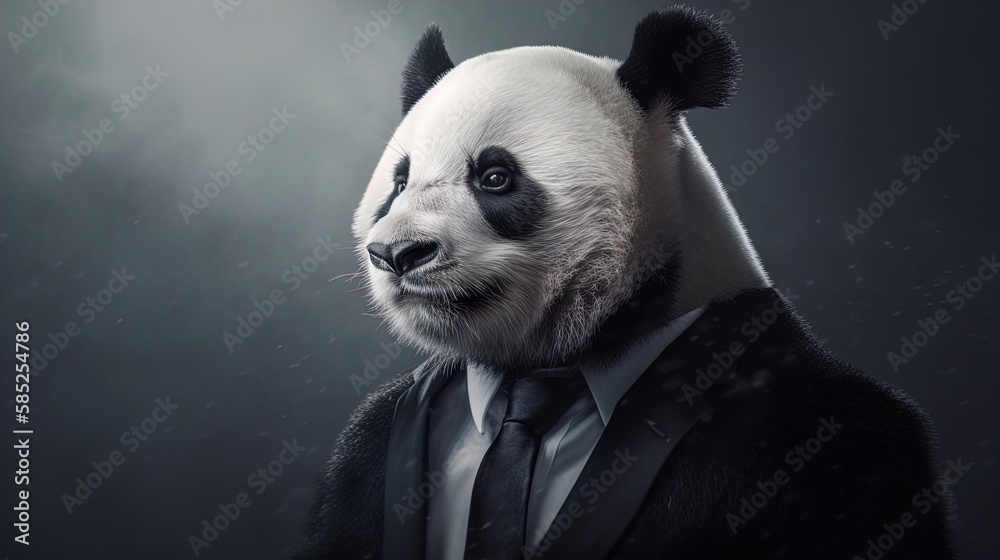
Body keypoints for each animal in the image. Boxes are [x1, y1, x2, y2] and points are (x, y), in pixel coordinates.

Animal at [296, 7, 954, 560]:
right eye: (399, 182)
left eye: (495, 176)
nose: (397, 253)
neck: (546, 364)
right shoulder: (367, 450)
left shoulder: (825, 441)